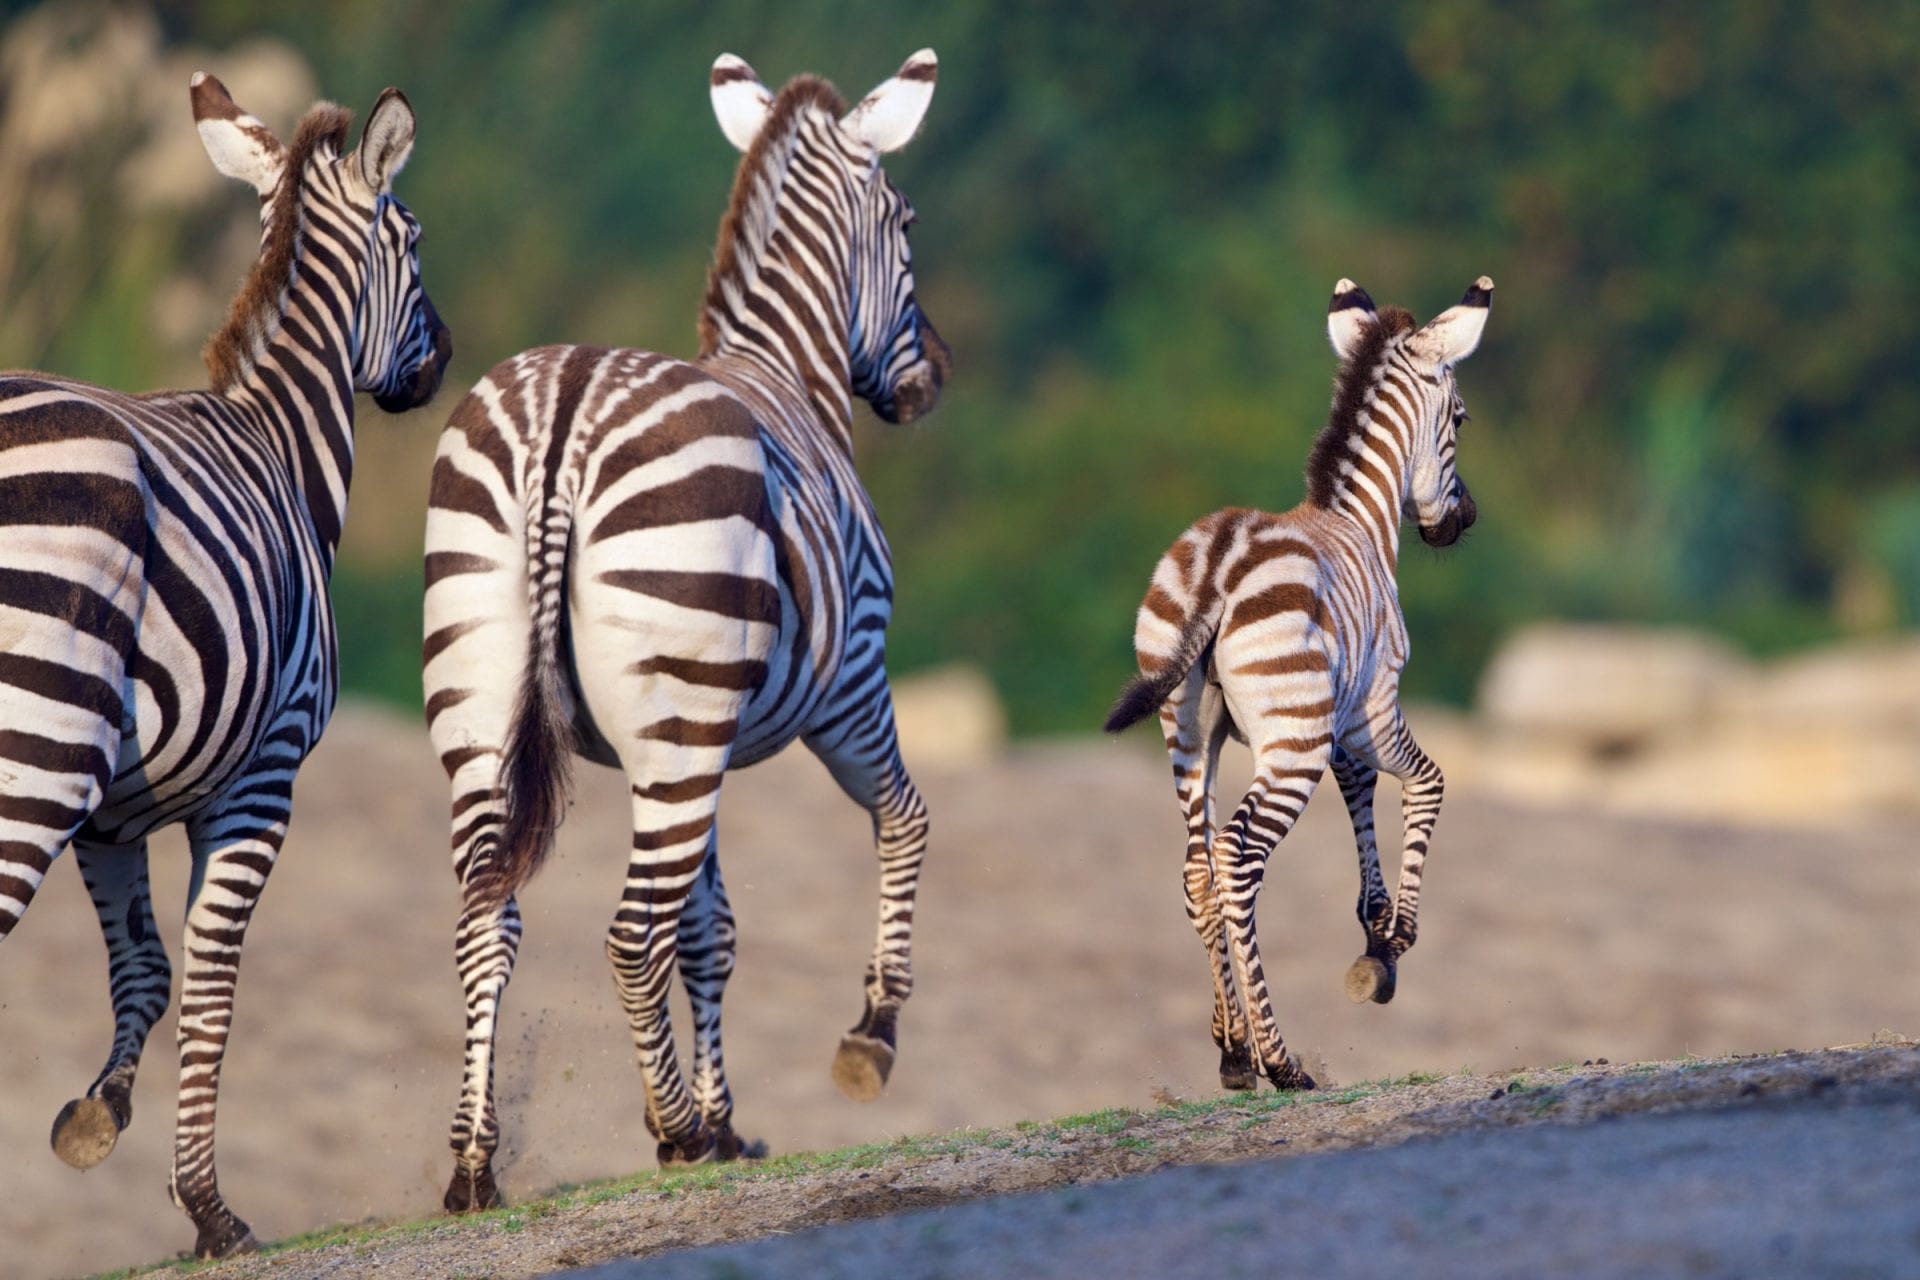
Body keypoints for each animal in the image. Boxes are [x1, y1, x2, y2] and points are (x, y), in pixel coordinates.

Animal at [0, 75, 449, 1258]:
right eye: (413, 237)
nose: (439, 360)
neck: (282, 445)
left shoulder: (110, 815)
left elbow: (147, 970)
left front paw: (94, 1117)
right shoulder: (264, 773)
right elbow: (213, 987)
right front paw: (209, 1211)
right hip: (37, 751)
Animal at [422, 50, 949, 1212]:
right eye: (906, 221)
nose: (933, 378)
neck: (788, 373)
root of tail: (566, 416)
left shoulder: (689, 746)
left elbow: (712, 929)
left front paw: (724, 1115)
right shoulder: (854, 680)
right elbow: (903, 820)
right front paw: (869, 1035)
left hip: (502, 706)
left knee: (490, 915)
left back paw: (477, 1162)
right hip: (687, 726)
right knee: (629, 934)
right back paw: (666, 1126)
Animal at [1104, 277, 1493, 1093]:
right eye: (1461, 418)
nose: (1462, 519)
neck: (1358, 520)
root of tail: (1218, 565)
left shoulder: (1335, 726)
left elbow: (1361, 800)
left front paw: (1375, 927)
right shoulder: (1371, 712)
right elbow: (1428, 784)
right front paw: (1391, 948)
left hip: (1189, 734)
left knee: (1198, 869)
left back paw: (1232, 1052)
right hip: (1288, 749)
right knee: (1236, 857)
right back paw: (1280, 1062)